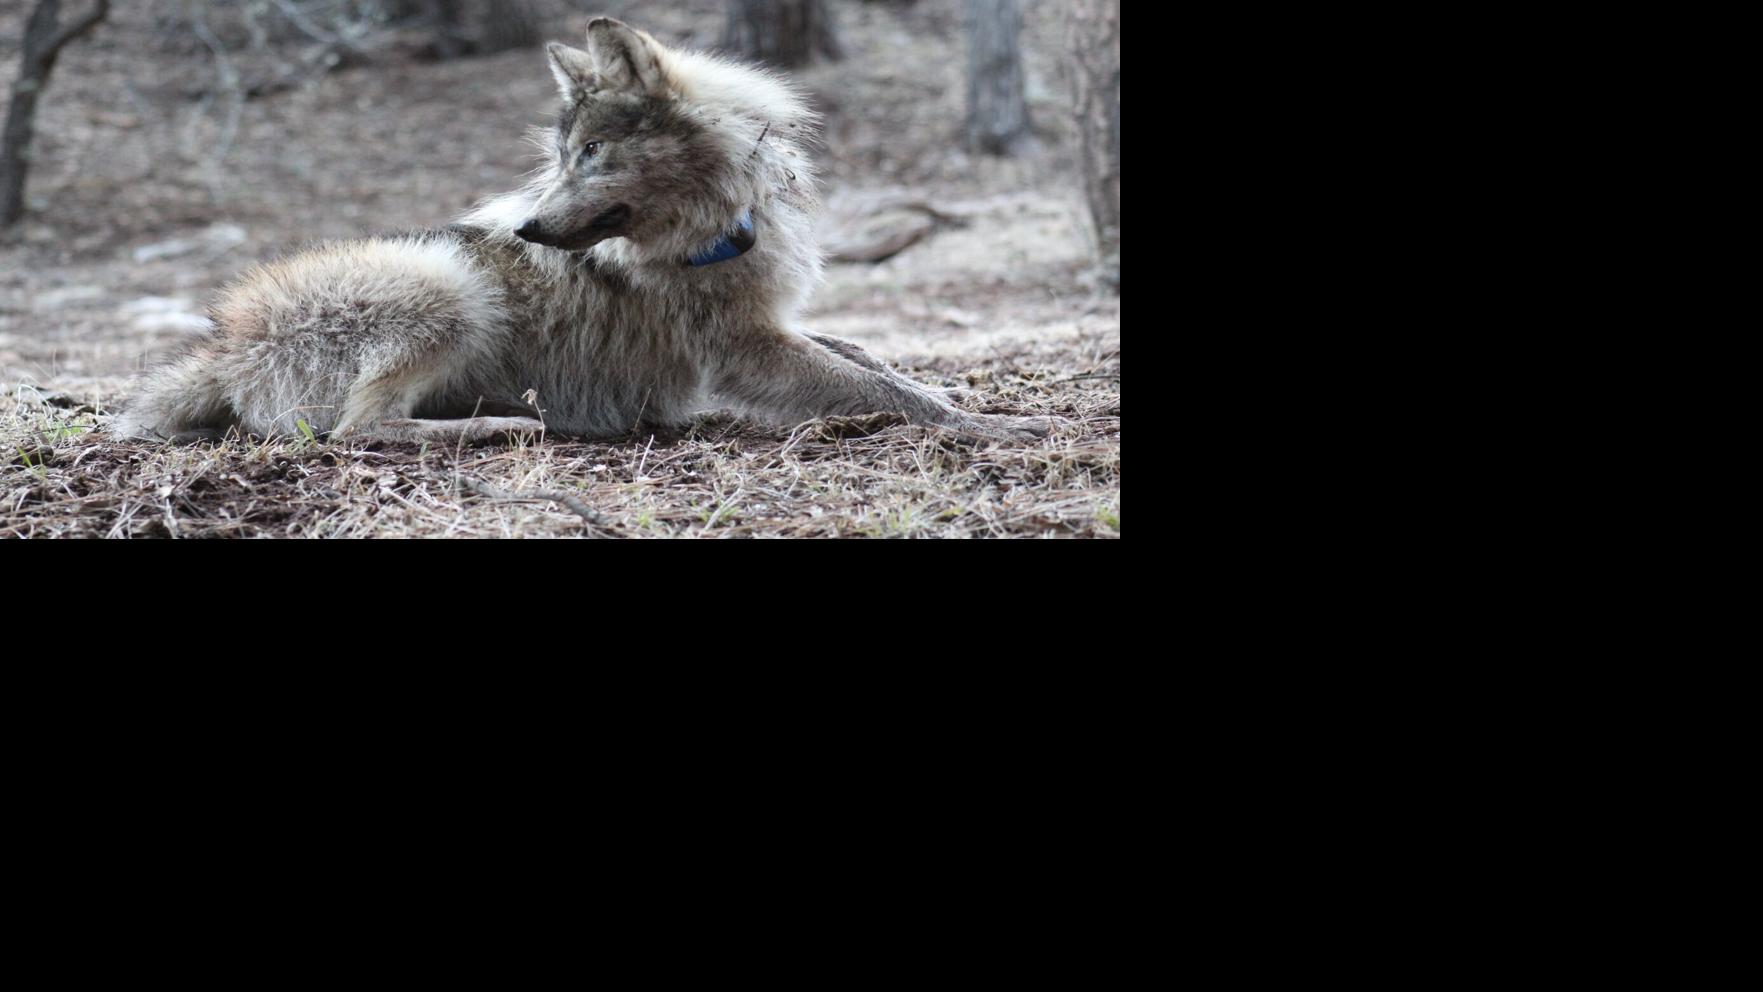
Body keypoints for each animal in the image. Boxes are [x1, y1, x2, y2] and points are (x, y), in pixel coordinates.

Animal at [110, 18, 1053, 446]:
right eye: (563, 157)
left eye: (592, 154)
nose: (525, 226)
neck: (715, 230)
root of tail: (223, 345)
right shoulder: (749, 350)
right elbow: (879, 389)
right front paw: (996, 427)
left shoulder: (775, 326)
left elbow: (875, 362)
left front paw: (977, 404)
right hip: (451, 290)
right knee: (359, 430)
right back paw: (499, 426)